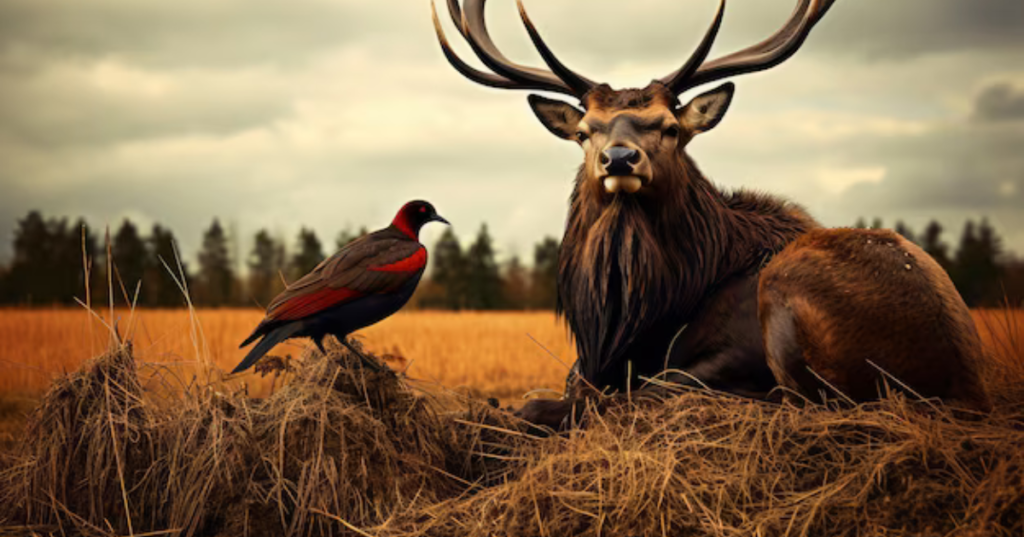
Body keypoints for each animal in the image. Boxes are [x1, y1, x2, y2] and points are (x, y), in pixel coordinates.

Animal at [430, 0, 992, 427]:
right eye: (586, 130)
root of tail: (966, 390)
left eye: (669, 127)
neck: (624, 330)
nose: (619, 158)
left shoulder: (731, 352)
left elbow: (629, 393)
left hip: (789, 298)